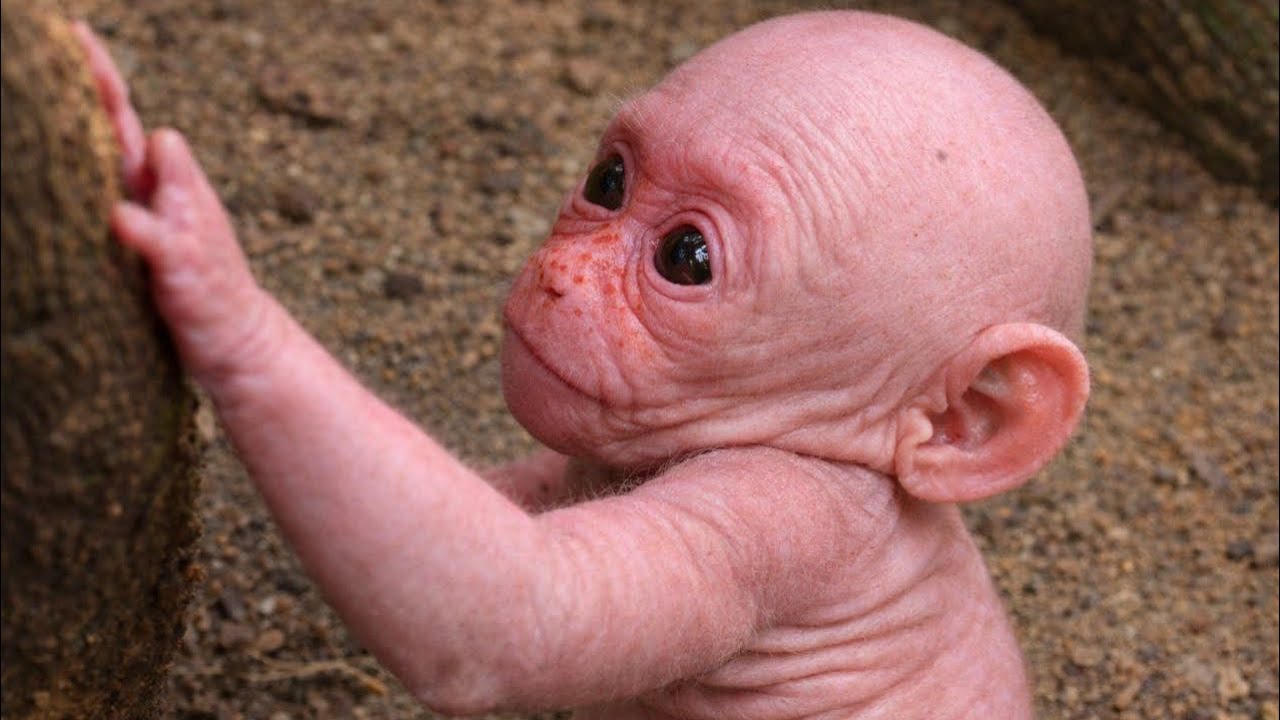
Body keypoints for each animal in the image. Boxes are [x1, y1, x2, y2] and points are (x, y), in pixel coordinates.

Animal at [77, 10, 1090, 719]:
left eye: (688, 257)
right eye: (609, 181)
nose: (555, 279)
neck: (849, 458)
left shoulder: (785, 513)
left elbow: (519, 612)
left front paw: (213, 278)